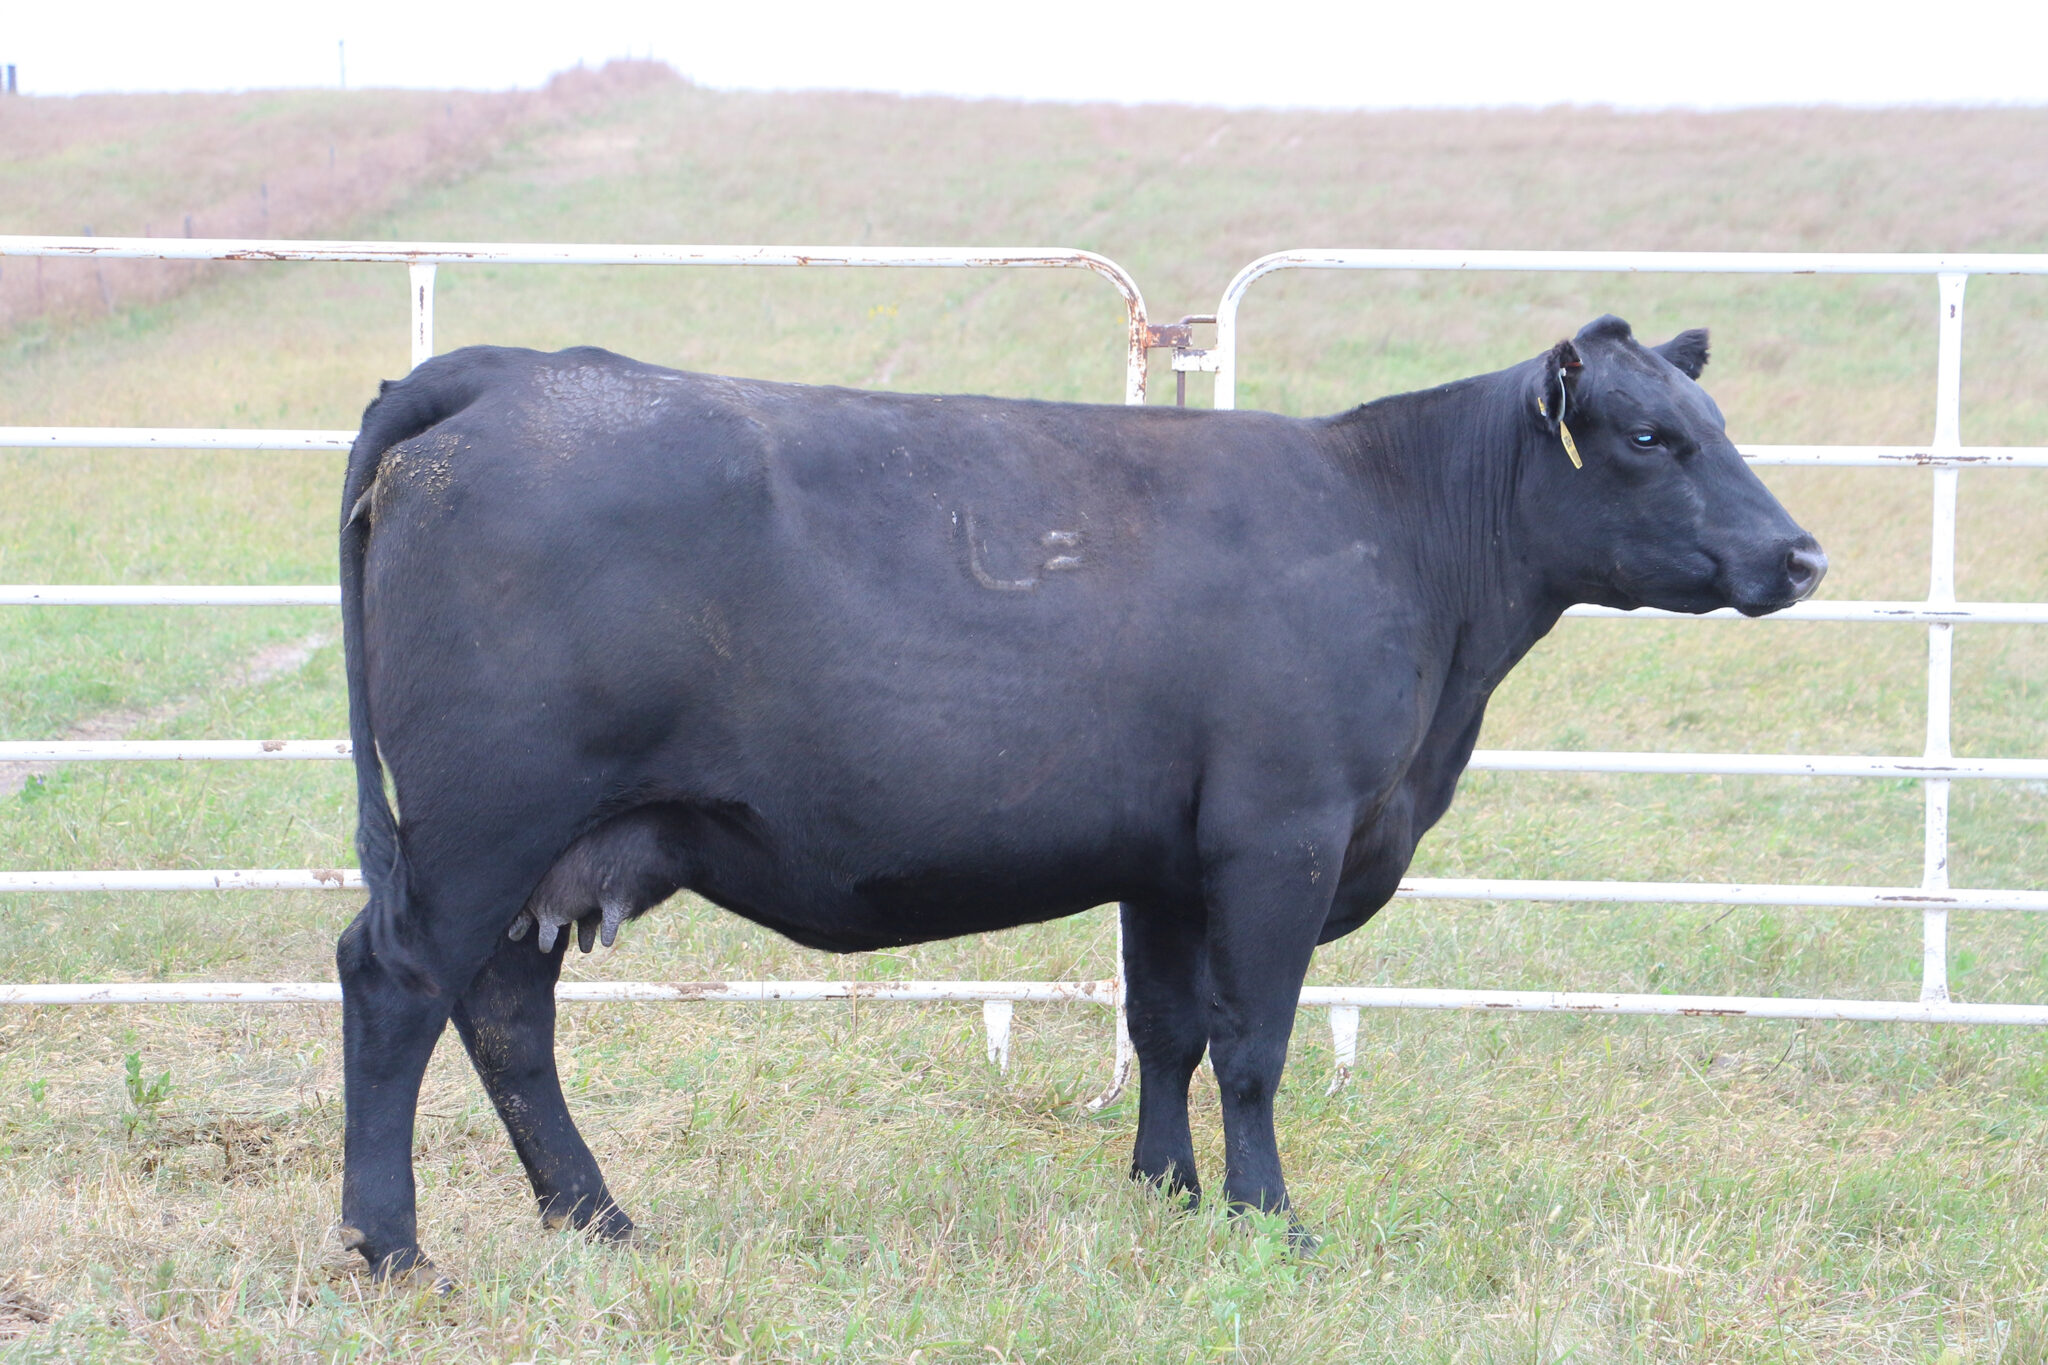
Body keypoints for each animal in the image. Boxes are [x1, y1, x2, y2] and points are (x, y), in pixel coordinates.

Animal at [334, 315, 1824, 1281]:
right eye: (1650, 436)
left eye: (1716, 425)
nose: (1800, 554)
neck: (1399, 533)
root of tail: (508, 373)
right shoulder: (1281, 835)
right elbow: (1253, 1044)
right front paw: (1269, 1222)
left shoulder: (1165, 858)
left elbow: (1164, 1030)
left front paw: (1163, 1193)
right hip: (485, 817)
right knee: (397, 983)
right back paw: (390, 1248)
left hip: (552, 848)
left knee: (506, 1014)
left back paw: (593, 1219)